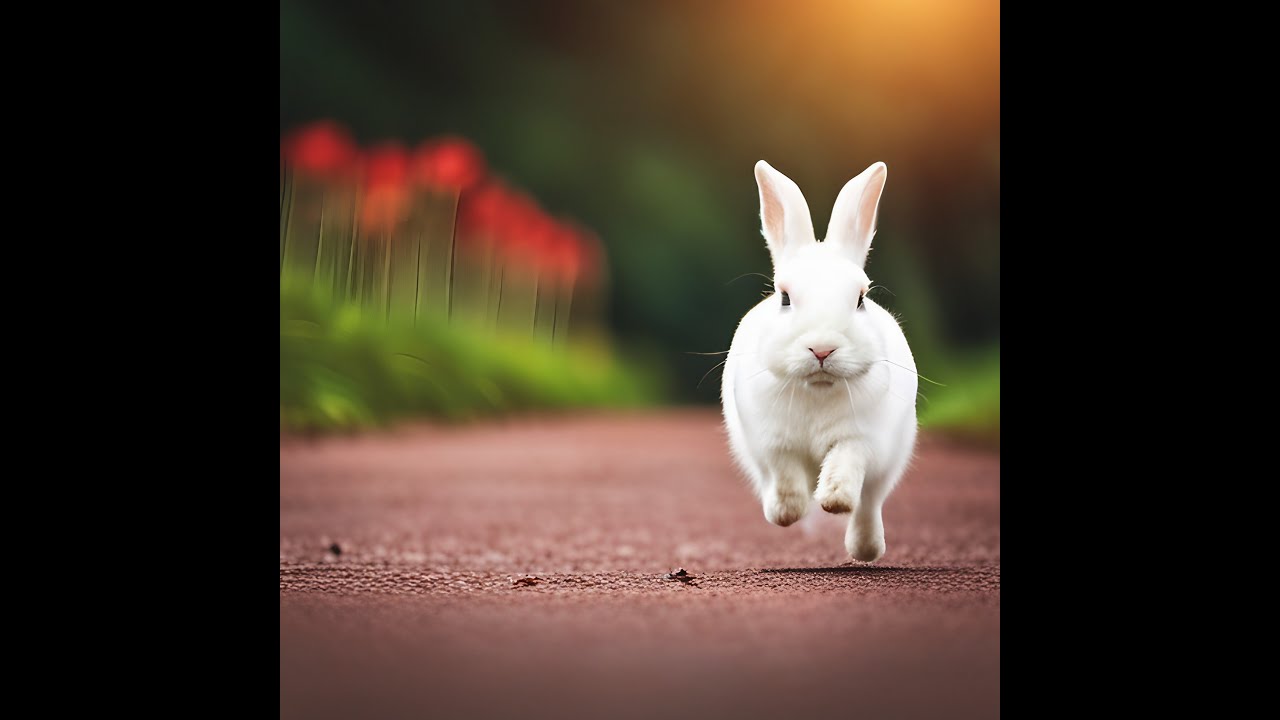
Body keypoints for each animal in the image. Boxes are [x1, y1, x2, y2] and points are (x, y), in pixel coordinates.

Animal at [721, 160, 918, 562]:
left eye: (861, 298)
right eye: (784, 297)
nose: (823, 349)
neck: (817, 388)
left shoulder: (861, 438)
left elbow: (845, 466)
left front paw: (833, 501)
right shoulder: (771, 441)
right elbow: (784, 476)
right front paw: (786, 513)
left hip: (890, 462)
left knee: (869, 504)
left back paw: (866, 549)